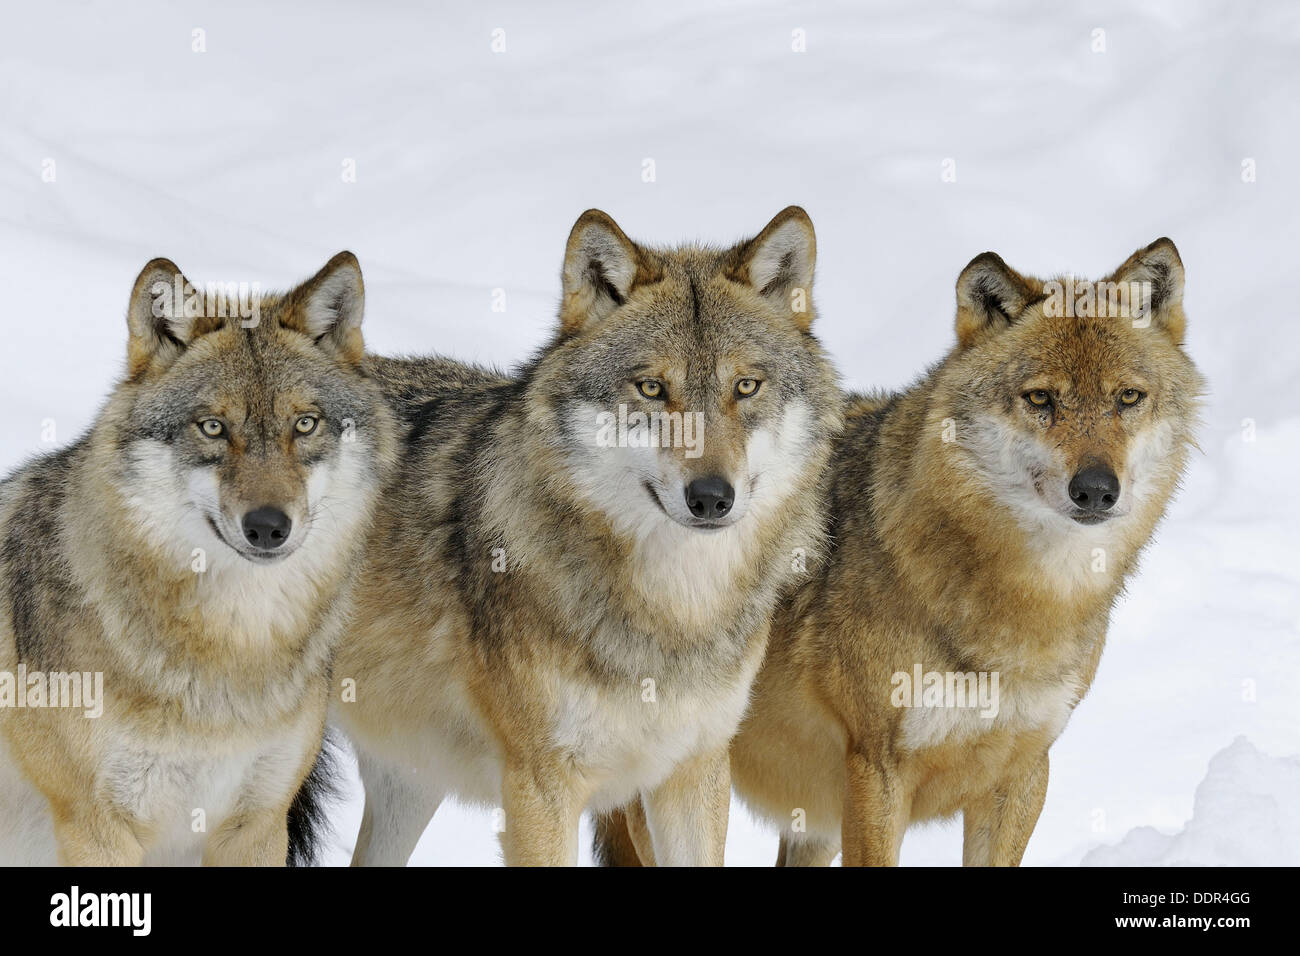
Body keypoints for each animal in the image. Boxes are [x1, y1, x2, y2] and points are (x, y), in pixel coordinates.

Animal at [0, 252, 396, 865]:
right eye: (213, 427)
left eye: (304, 424)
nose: (268, 527)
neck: (232, 647)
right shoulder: (97, 828)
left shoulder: (258, 825)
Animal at [328, 206, 842, 866]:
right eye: (652, 389)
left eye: (746, 387)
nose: (711, 497)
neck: (675, 611)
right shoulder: (541, 786)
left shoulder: (694, 769)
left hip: (409, 784)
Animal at [598, 238, 1203, 866]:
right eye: (1041, 398)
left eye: (1128, 398)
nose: (1096, 489)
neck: (1023, 609)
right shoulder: (877, 768)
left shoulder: (1023, 773)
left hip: (810, 824)